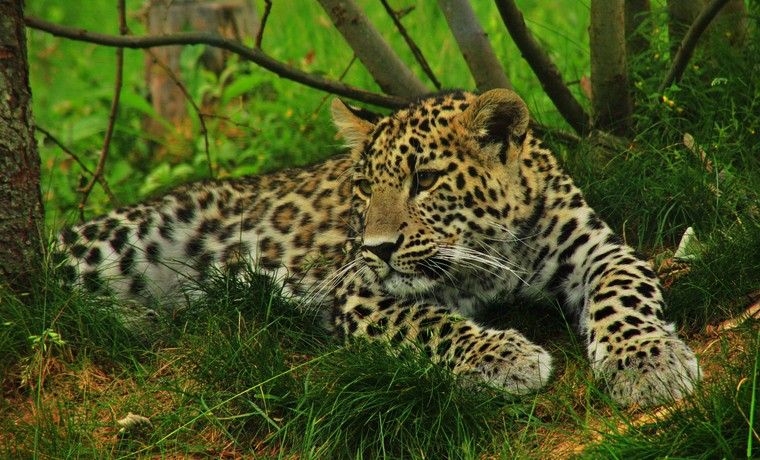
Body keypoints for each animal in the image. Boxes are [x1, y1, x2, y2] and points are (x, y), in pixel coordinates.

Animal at [58, 89, 700, 407]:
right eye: (365, 186)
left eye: (425, 180)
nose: (378, 246)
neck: (491, 254)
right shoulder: (357, 291)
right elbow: (431, 322)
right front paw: (506, 357)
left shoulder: (600, 250)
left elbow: (622, 296)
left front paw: (647, 363)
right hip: (110, 246)